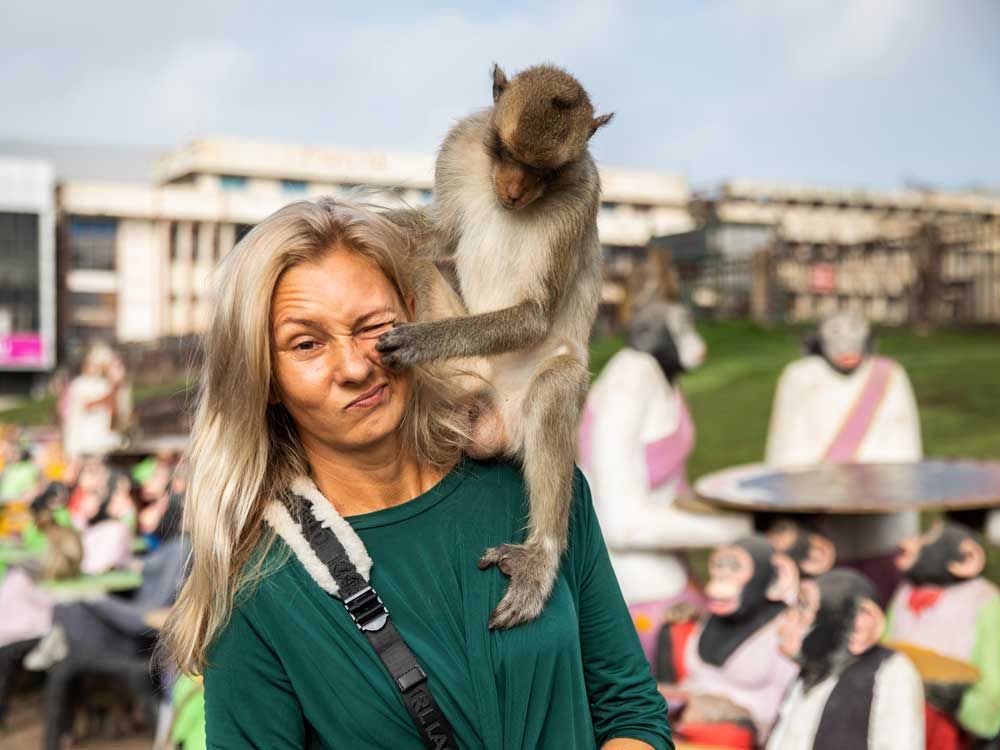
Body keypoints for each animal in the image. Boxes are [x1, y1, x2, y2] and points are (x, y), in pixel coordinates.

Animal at [375, 63, 613, 629]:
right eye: (505, 153)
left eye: (543, 172)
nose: (514, 189)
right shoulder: (461, 144)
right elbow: (435, 238)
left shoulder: (581, 194)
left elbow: (532, 315)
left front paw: (420, 342)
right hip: (462, 381)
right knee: (419, 264)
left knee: (557, 384)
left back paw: (540, 555)